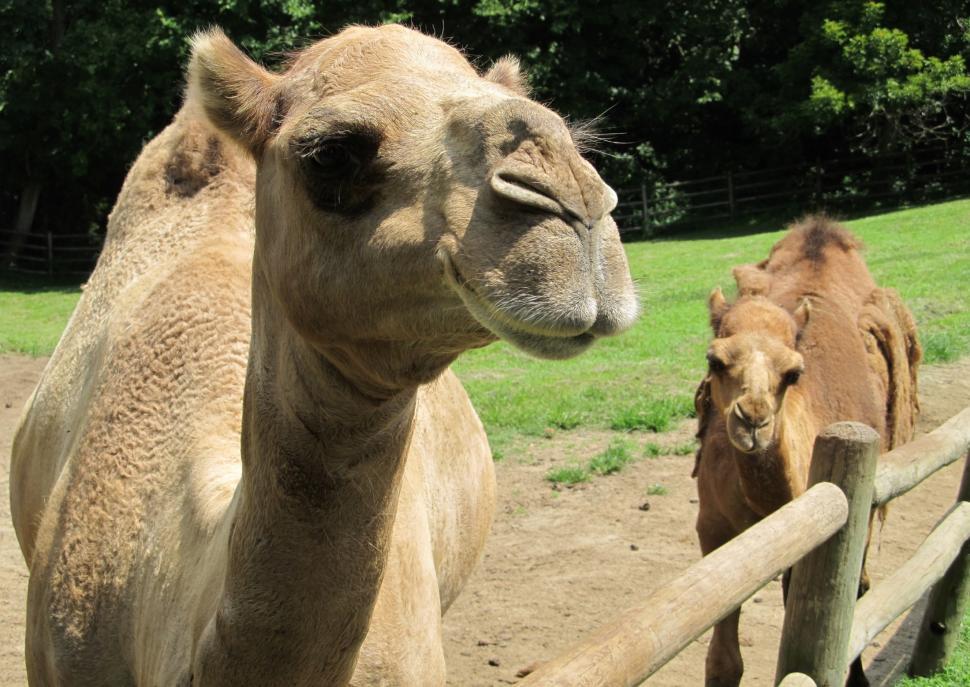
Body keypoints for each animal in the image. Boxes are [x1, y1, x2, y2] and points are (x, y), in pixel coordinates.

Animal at [693, 217, 920, 687]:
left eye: (793, 372)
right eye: (715, 361)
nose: (754, 418)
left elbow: (843, 599)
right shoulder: (712, 526)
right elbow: (723, 660)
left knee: (859, 585)